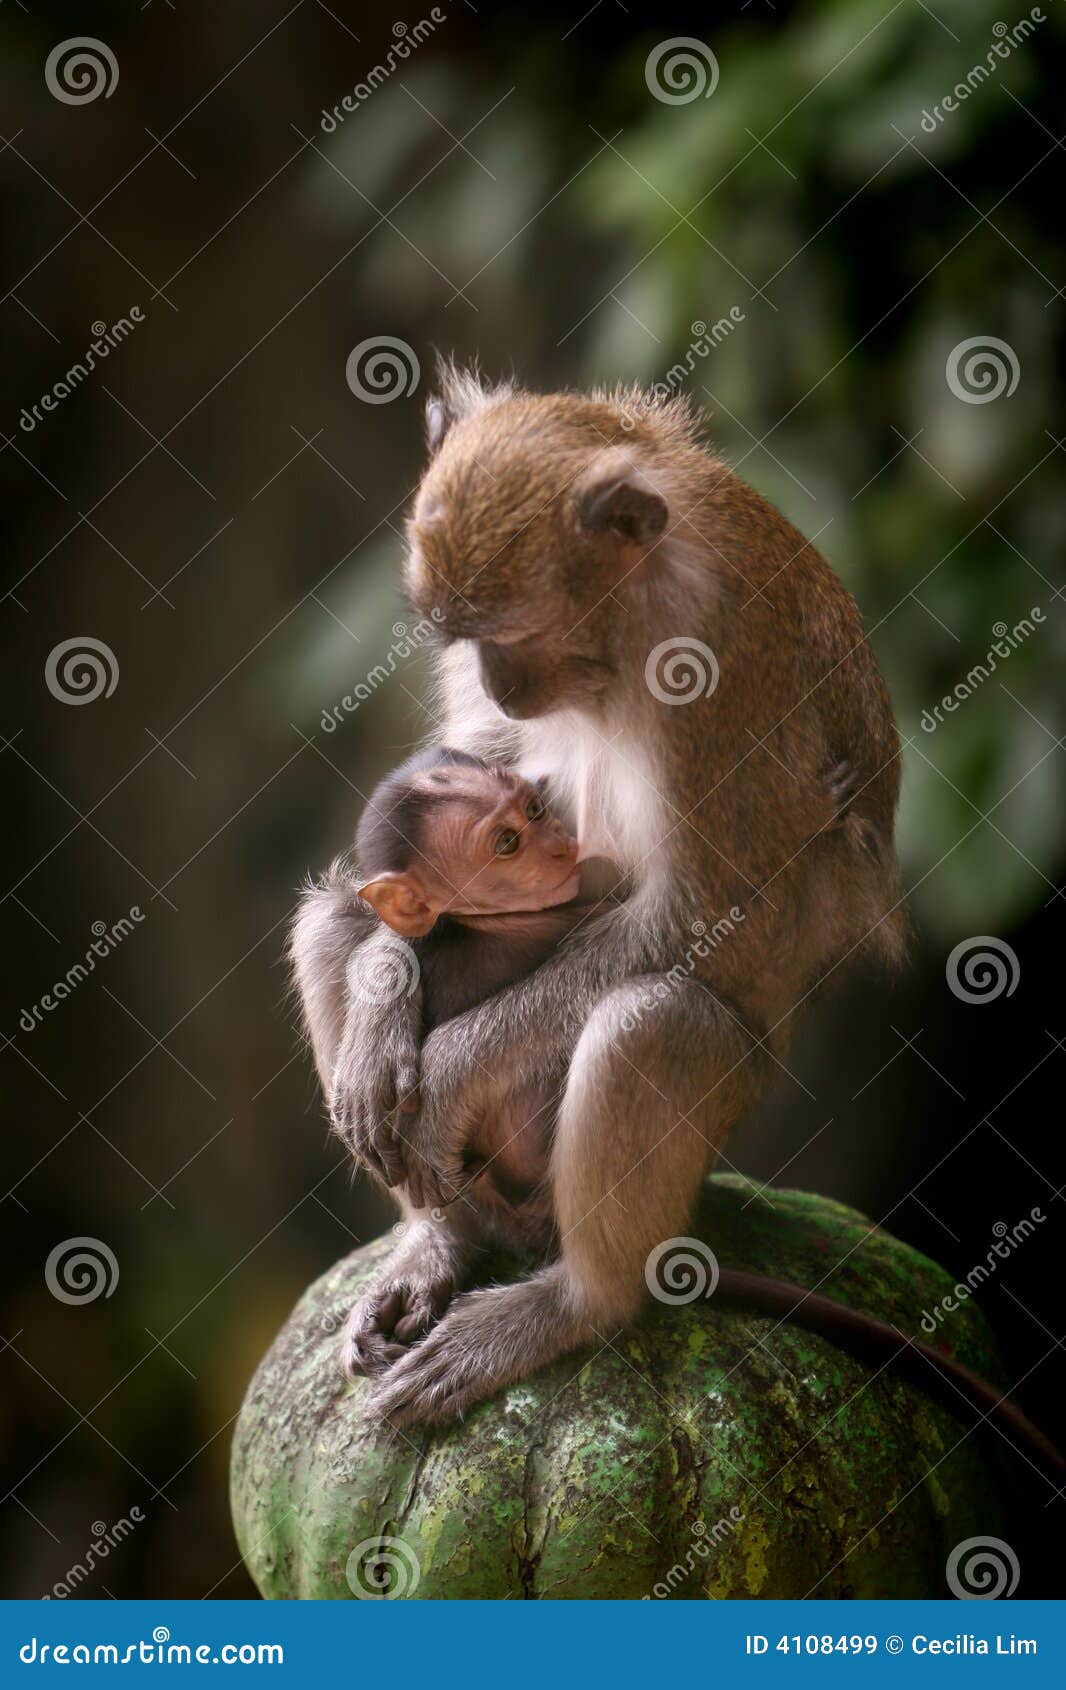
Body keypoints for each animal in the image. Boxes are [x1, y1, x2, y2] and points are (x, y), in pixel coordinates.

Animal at [299, 363, 908, 1428]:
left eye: (514, 630)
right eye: (457, 637)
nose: (498, 680)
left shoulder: (714, 664)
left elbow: (710, 912)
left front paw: (449, 1071)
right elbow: (458, 783)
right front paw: (386, 994)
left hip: (720, 1112)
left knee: (646, 1022)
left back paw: (579, 1301)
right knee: (326, 922)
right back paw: (442, 1239)